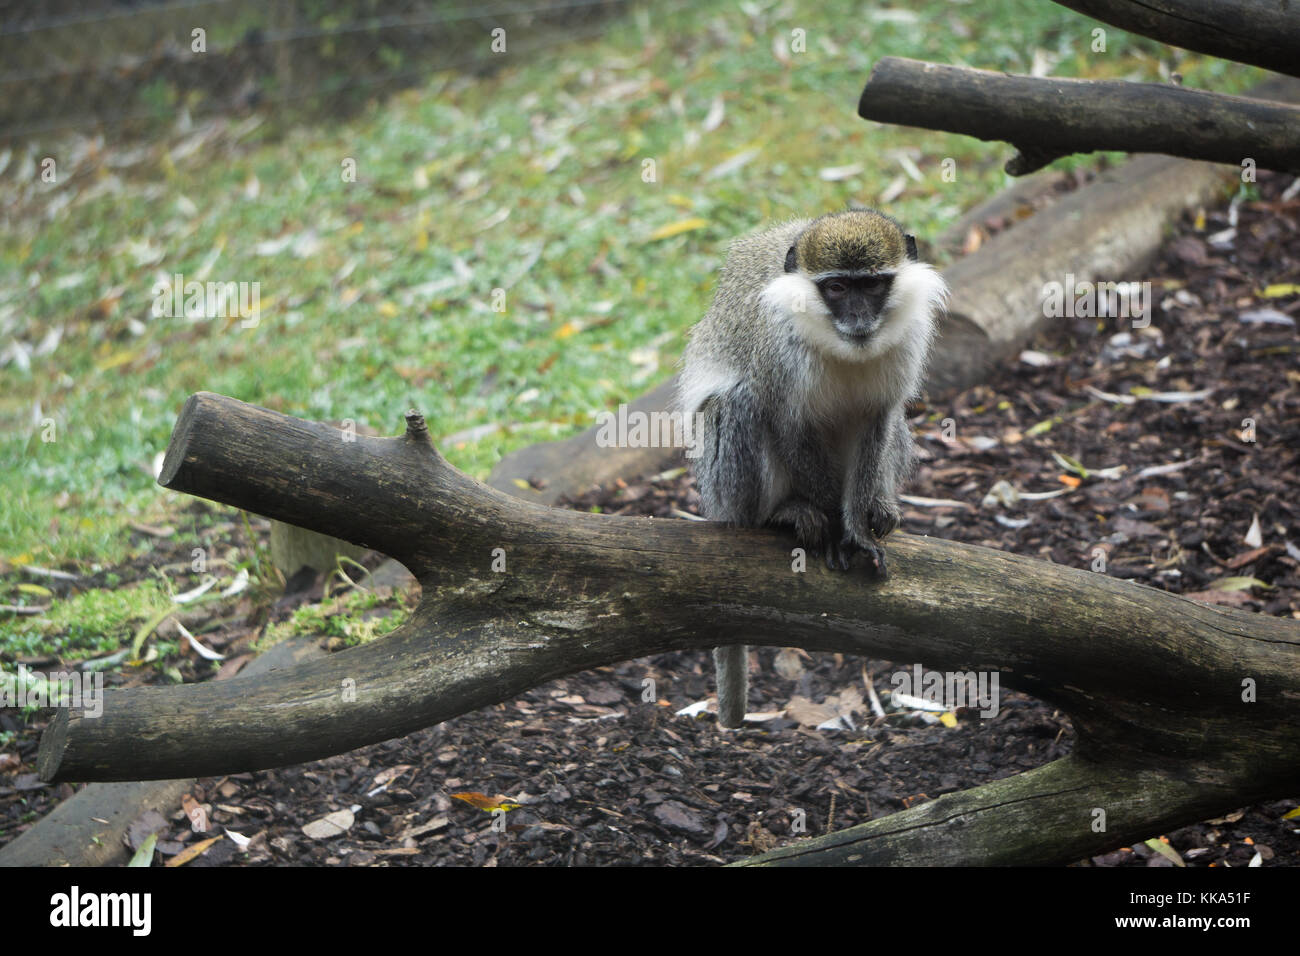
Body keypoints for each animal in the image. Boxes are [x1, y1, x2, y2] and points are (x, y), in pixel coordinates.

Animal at [676, 209, 948, 729]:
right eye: (837, 288)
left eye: (872, 285)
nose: (859, 320)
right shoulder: (778, 348)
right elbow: (786, 420)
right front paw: (837, 535)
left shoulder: (907, 340)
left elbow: (880, 418)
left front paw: (858, 525)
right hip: (724, 488)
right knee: (740, 403)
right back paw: (780, 515)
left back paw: (879, 507)